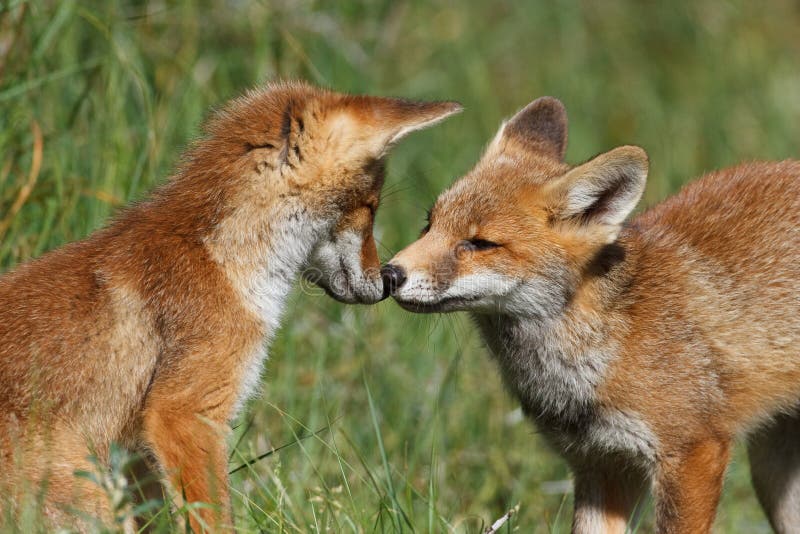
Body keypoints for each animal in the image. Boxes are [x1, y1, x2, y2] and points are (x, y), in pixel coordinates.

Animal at [383, 97, 799, 533]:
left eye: (480, 243)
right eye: (430, 224)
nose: (389, 275)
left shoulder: (692, 451)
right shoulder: (601, 463)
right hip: (774, 479)